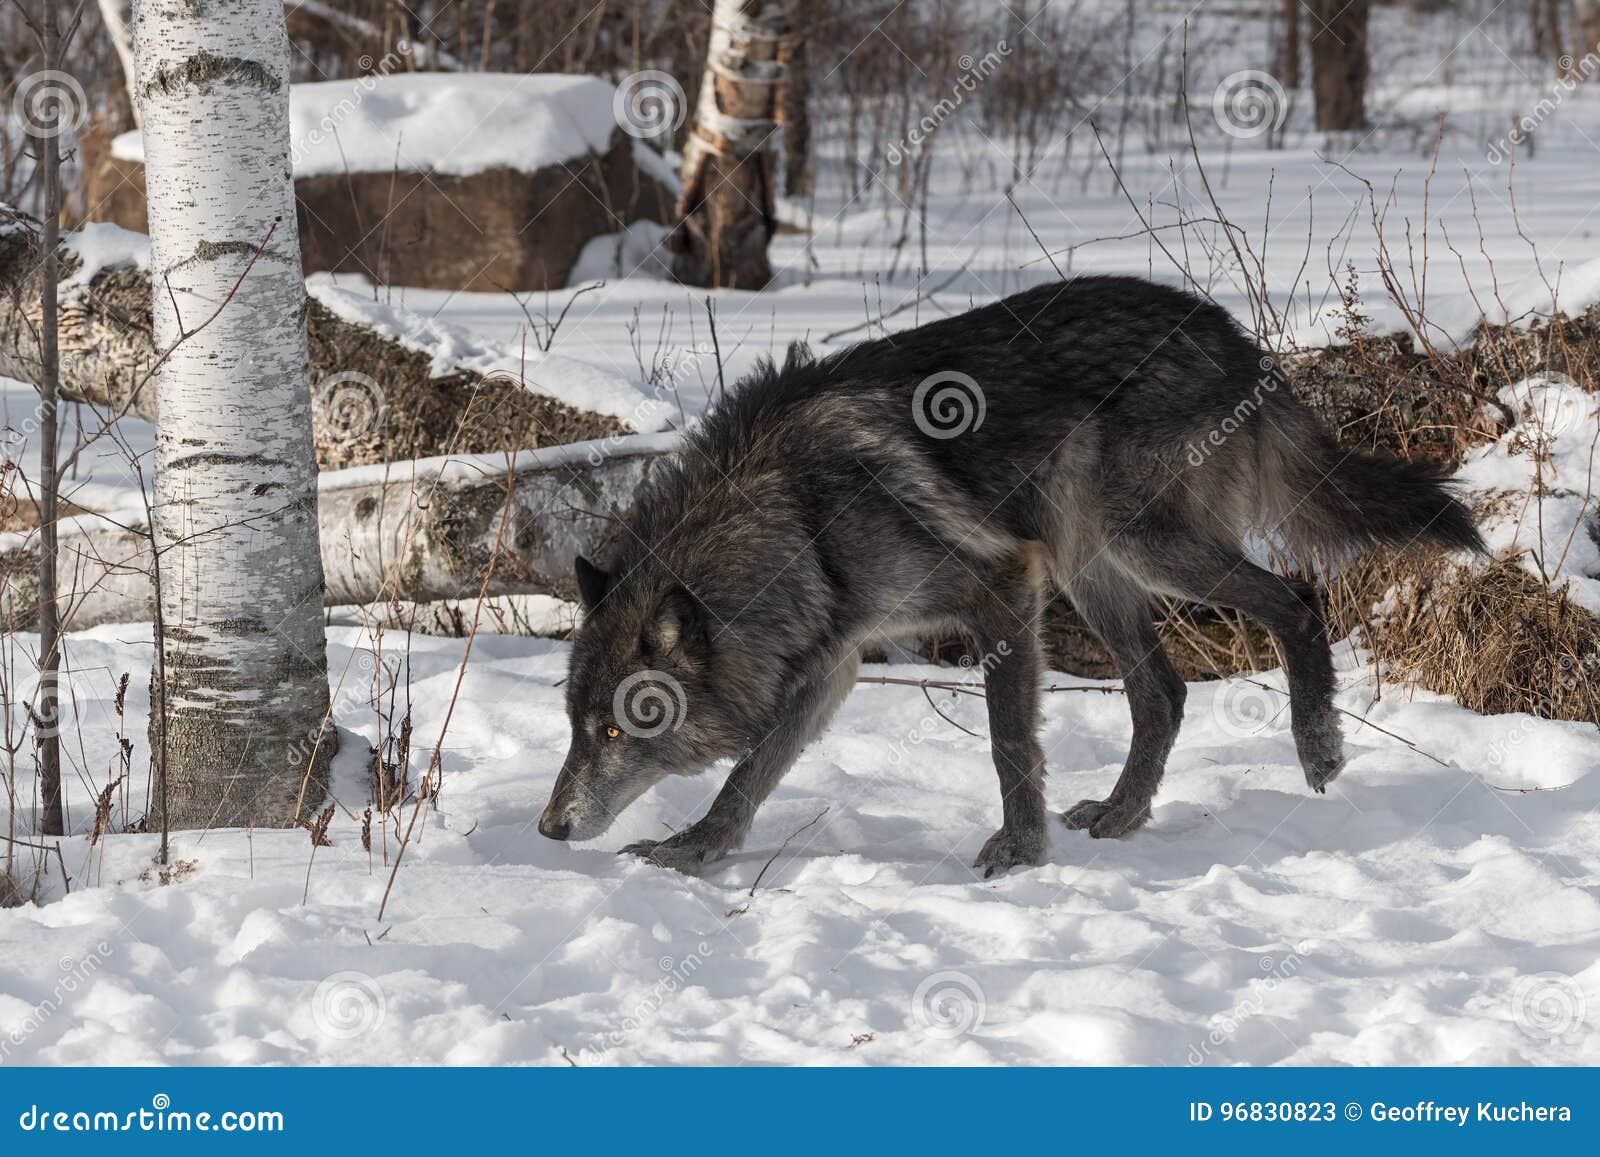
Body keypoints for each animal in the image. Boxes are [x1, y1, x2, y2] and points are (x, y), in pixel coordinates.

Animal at [537, 275, 1483, 877]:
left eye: (616, 729)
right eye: (577, 727)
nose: (548, 827)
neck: (796, 515)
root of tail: (1236, 337)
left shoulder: (1001, 587)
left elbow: (1007, 743)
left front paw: (1021, 852)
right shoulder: (832, 662)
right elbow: (751, 772)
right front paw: (693, 850)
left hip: (1141, 549)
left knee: (1296, 598)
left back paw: (1317, 747)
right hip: (1093, 567)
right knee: (1165, 692)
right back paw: (1121, 814)